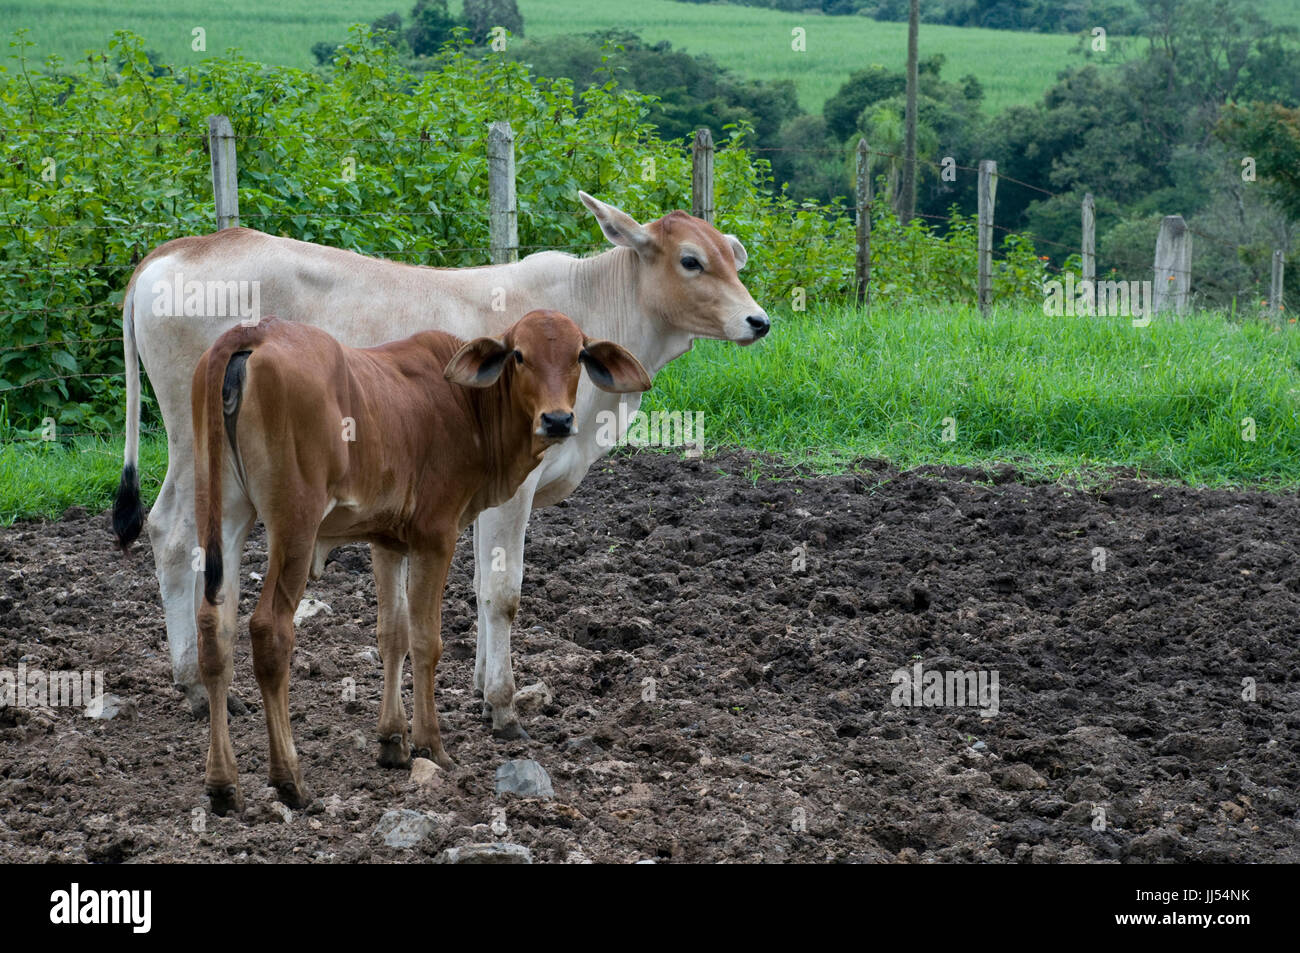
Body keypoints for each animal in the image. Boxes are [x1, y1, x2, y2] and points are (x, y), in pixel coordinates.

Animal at [113, 191, 769, 739]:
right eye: (690, 261)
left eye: (730, 256)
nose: (758, 320)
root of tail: (180, 249)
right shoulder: (513, 491)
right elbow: (502, 591)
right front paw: (502, 705)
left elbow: (480, 587)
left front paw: (481, 690)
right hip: (198, 451)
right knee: (173, 534)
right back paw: (195, 685)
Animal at [193, 310, 650, 814]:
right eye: (519, 355)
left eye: (578, 356)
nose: (557, 420)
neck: (468, 403)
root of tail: (254, 332)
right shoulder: (435, 536)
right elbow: (426, 639)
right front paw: (431, 742)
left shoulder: (388, 540)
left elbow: (392, 634)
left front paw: (393, 740)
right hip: (294, 523)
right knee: (269, 630)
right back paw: (289, 777)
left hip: (224, 512)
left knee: (215, 628)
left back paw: (223, 783)